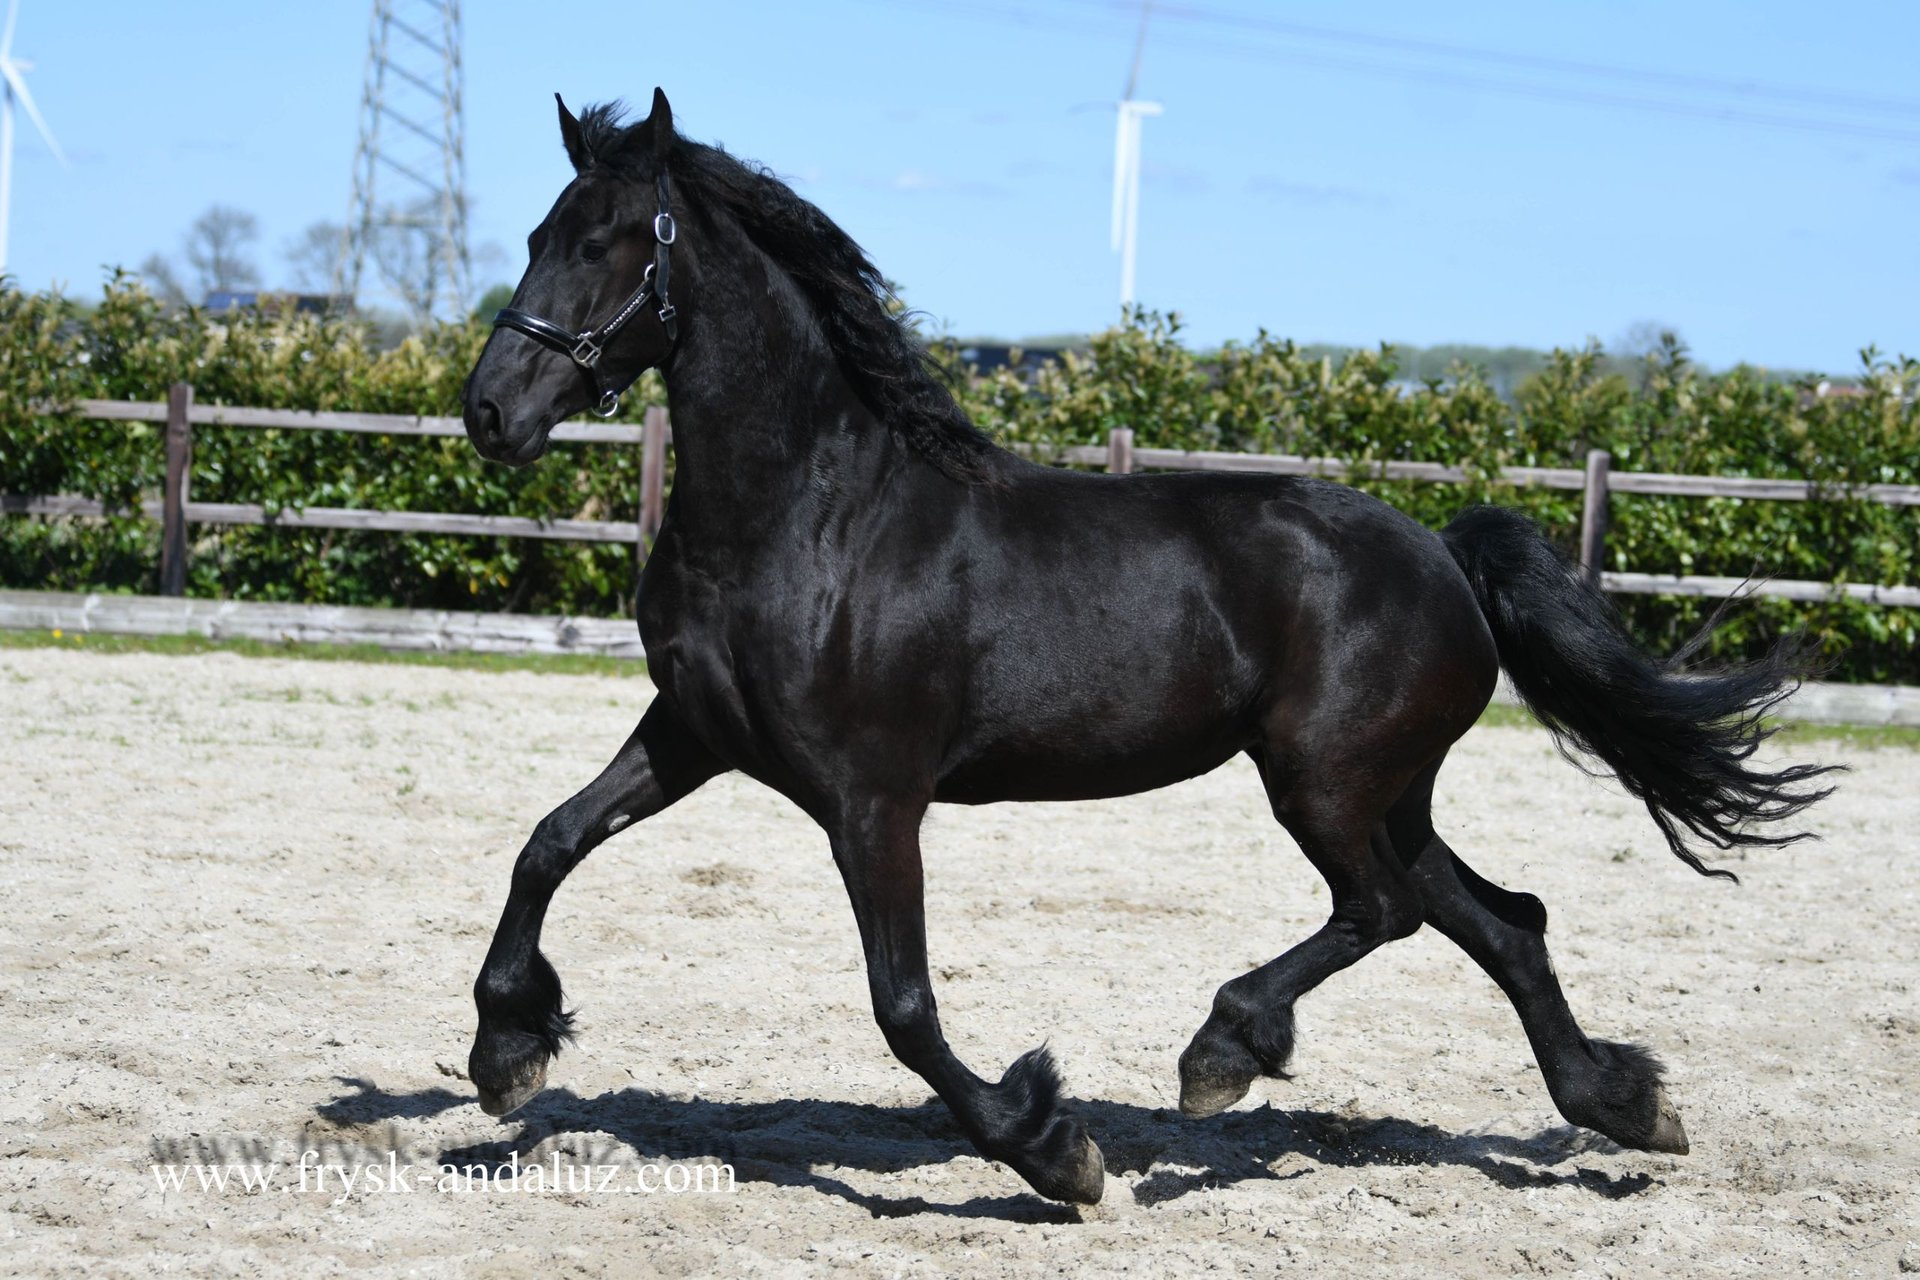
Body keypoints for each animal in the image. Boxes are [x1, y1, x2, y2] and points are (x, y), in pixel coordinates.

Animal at [458, 89, 1835, 1205]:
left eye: (604, 240)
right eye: (534, 237)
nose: (488, 413)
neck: (808, 513)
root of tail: (1445, 554)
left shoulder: (873, 796)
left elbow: (903, 1005)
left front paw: (1054, 1151)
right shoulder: (693, 732)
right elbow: (546, 842)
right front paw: (505, 1050)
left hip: (1321, 780)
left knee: (1386, 908)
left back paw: (1221, 1053)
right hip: (1383, 790)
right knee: (1502, 920)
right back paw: (1625, 1104)